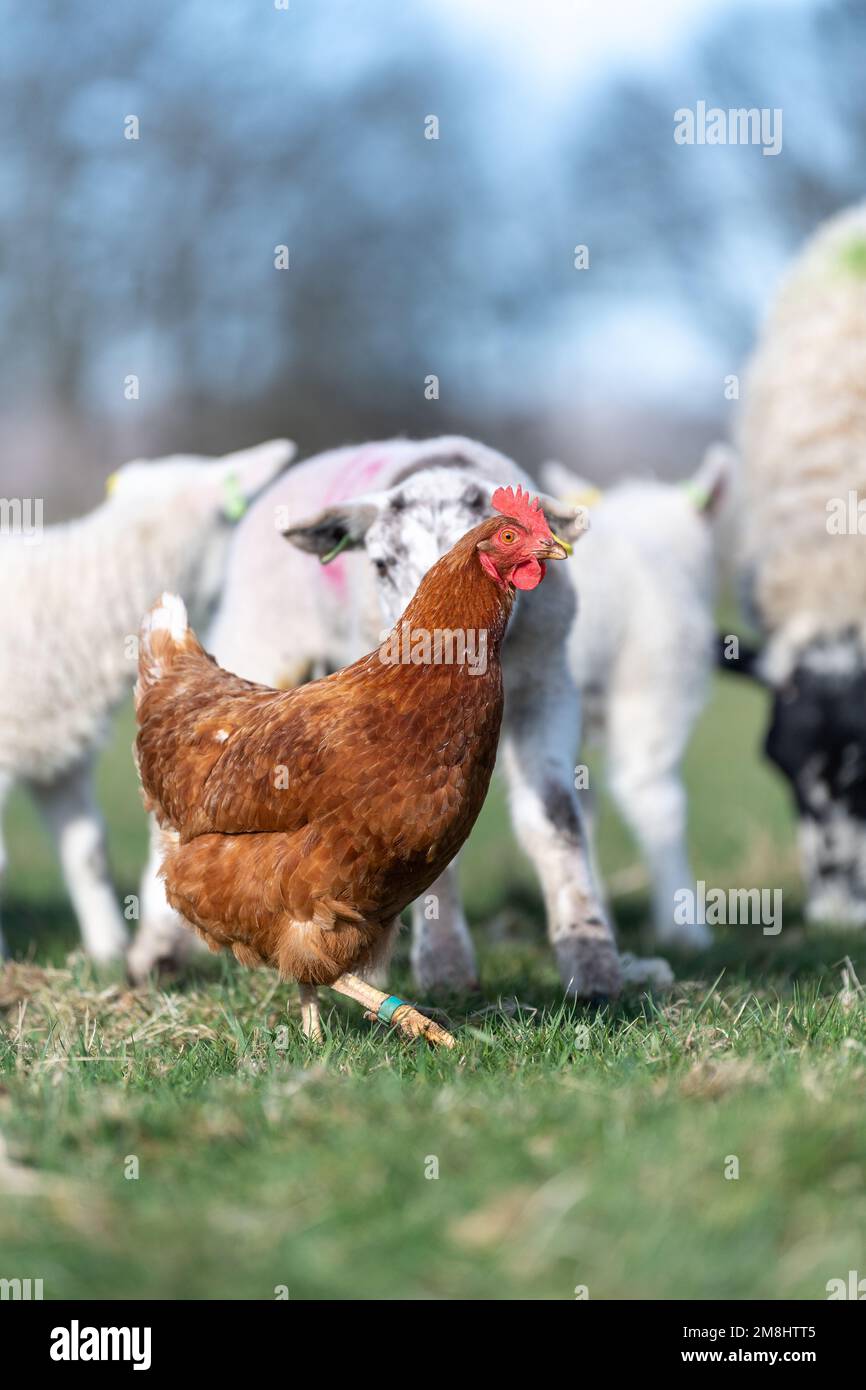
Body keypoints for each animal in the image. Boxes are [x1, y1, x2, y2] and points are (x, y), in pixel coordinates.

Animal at [129, 435, 725, 994]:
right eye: (381, 563)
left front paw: (590, 956)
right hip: (259, 643)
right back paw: (156, 951)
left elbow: (557, 817)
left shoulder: (548, 688)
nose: (410, 641)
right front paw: (445, 964)